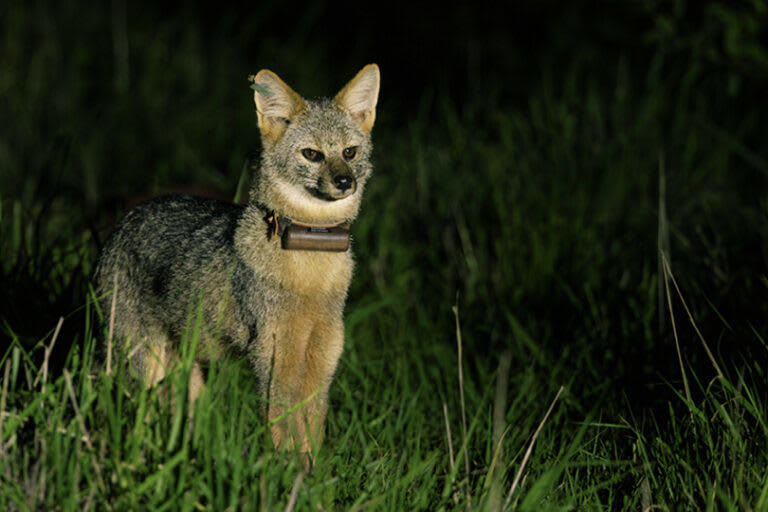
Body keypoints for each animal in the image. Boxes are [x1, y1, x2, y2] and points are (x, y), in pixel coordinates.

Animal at [94, 64, 381, 461]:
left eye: (350, 152)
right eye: (312, 154)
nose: (343, 181)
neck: (311, 271)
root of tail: (126, 218)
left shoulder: (320, 366)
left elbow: (311, 439)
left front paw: (316, 477)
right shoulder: (274, 365)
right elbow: (286, 440)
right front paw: (287, 476)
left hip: (187, 378)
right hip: (148, 365)